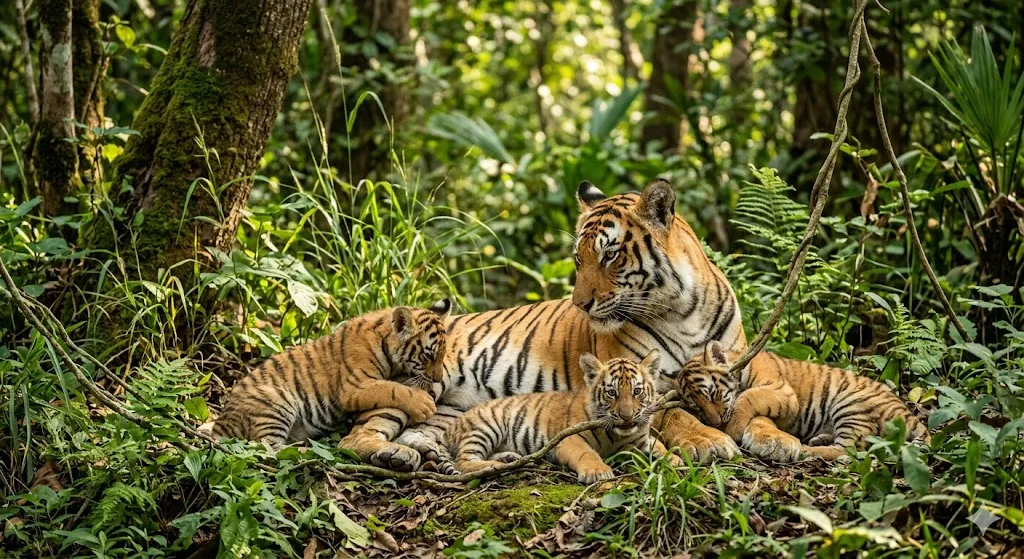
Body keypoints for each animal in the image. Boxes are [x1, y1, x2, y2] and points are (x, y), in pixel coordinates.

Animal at [210, 299, 451, 447]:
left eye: (443, 355)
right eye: (428, 356)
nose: (438, 378)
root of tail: (221, 422)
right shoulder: (354, 386)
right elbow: (390, 388)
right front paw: (422, 404)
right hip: (274, 404)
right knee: (266, 447)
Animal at [444, 351, 676, 482]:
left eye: (637, 391)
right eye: (612, 392)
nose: (626, 416)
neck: (618, 435)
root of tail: (451, 426)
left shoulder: (640, 440)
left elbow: (659, 445)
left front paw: (673, 459)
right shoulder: (570, 439)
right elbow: (587, 453)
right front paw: (597, 471)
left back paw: (508, 458)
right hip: (486, 427)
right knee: (463, 461)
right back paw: (494, 466)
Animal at [674, 341, 930, 462]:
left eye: (712, 394)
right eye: (697, 407)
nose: (715, 423)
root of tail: (907, 413)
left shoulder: (782, 391)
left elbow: (747, 397)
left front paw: (734, 428)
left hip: (850, 404)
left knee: (848, 451)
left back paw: (806, 449)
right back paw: (818, 439)